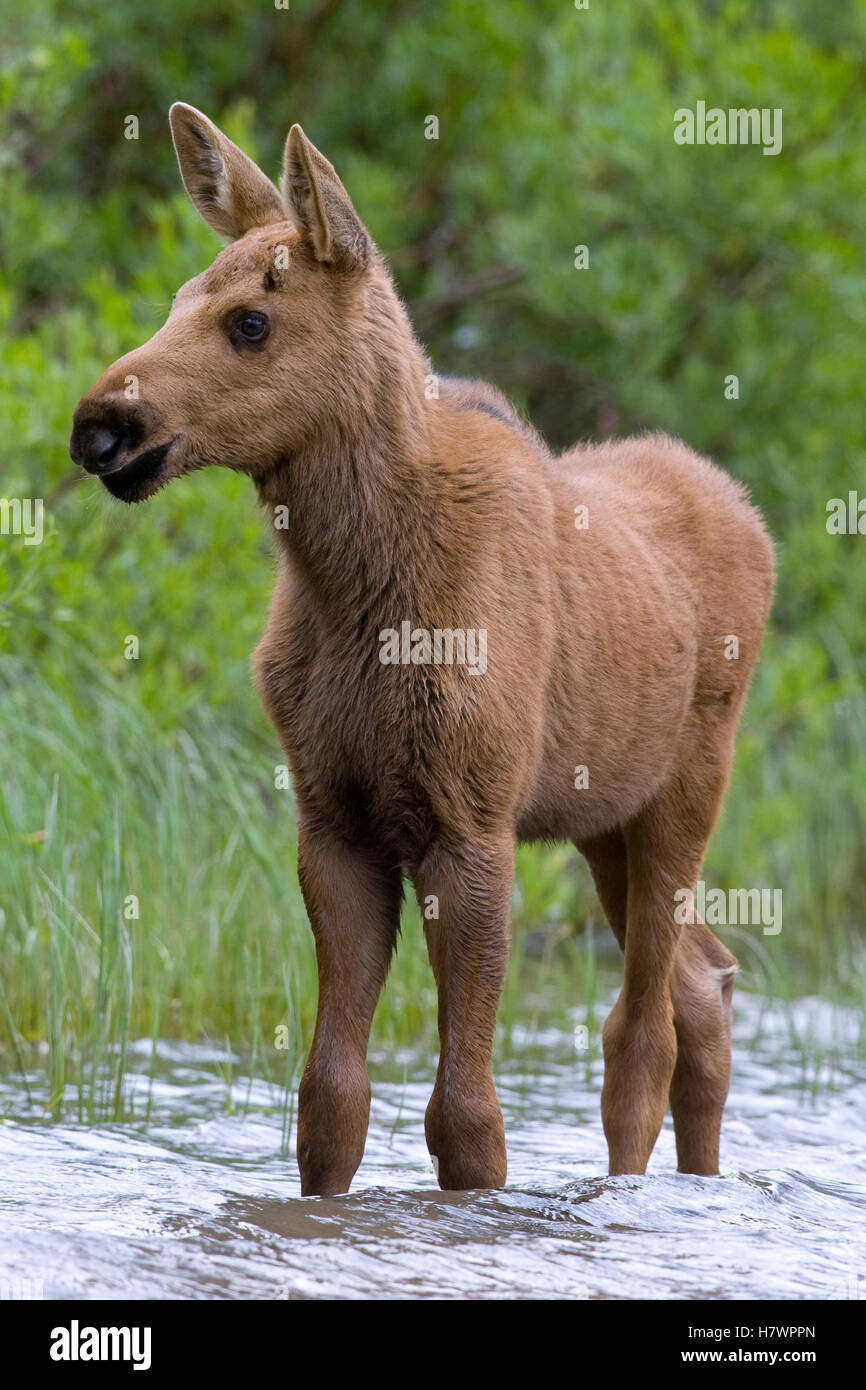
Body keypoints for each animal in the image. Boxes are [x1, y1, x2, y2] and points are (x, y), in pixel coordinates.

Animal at [70, 104, 775, 1197]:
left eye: (251, 322)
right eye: (182, 298)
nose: (100, 426)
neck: (355, 583)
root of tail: (752, 519)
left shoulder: (469, 825)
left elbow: (468, 1121)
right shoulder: (334, 822)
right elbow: (329, 1103)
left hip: (685, 789)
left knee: (640, 1031)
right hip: (602, 814)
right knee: (702, 985)